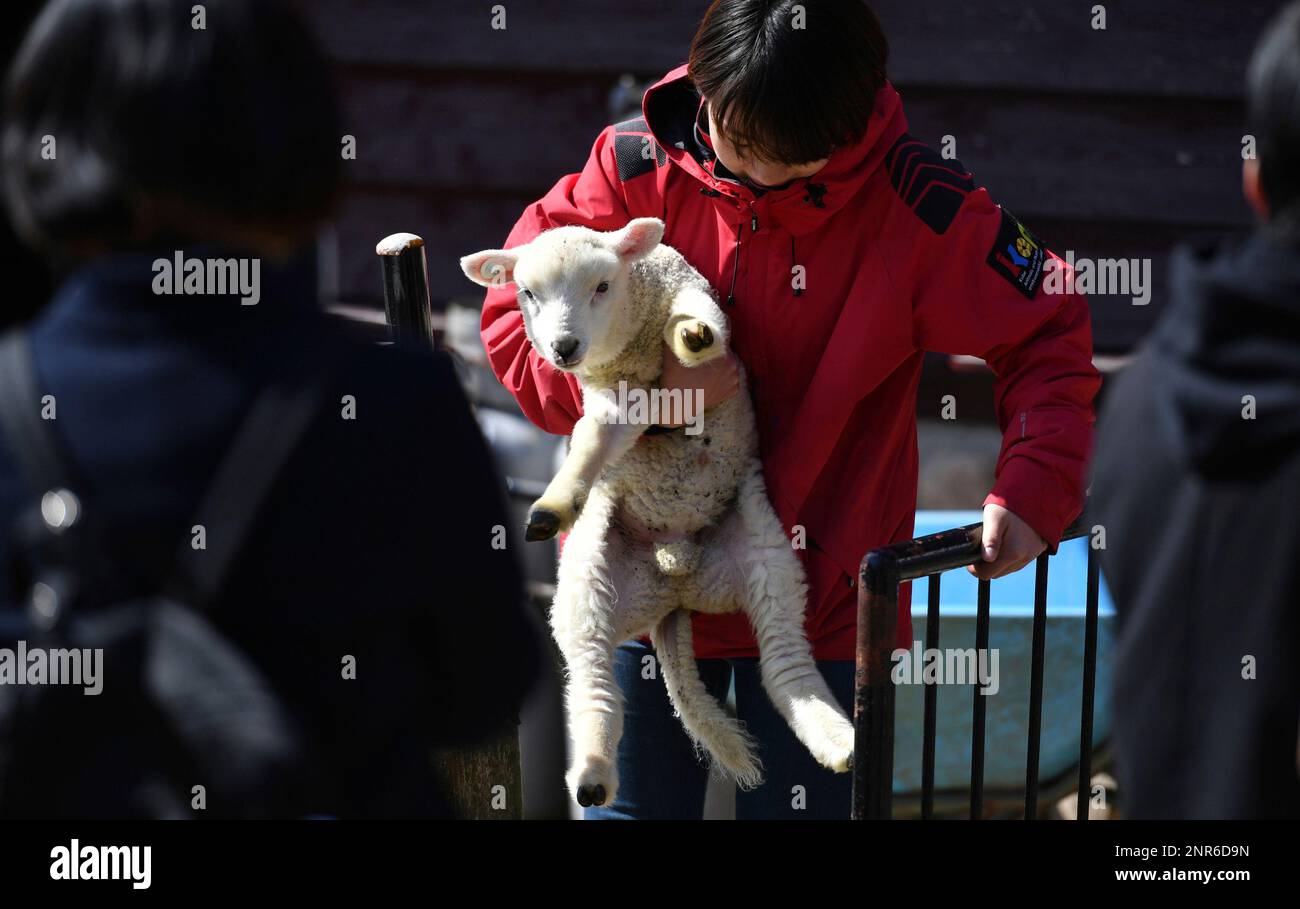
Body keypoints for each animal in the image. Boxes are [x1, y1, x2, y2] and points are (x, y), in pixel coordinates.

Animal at [461, 218, 854, 808]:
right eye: (526, 293)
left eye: (602, 286)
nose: (564, 347)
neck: (631, 344)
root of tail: (677, 581)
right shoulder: (616, 400)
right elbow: (590, 439)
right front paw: (555, 503)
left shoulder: (686, 290)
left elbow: (703, 317)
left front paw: (693, 337)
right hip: (589, 579)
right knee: (593, 681)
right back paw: (594, 773)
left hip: (766, 551)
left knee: (785, 662)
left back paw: (838, 742)